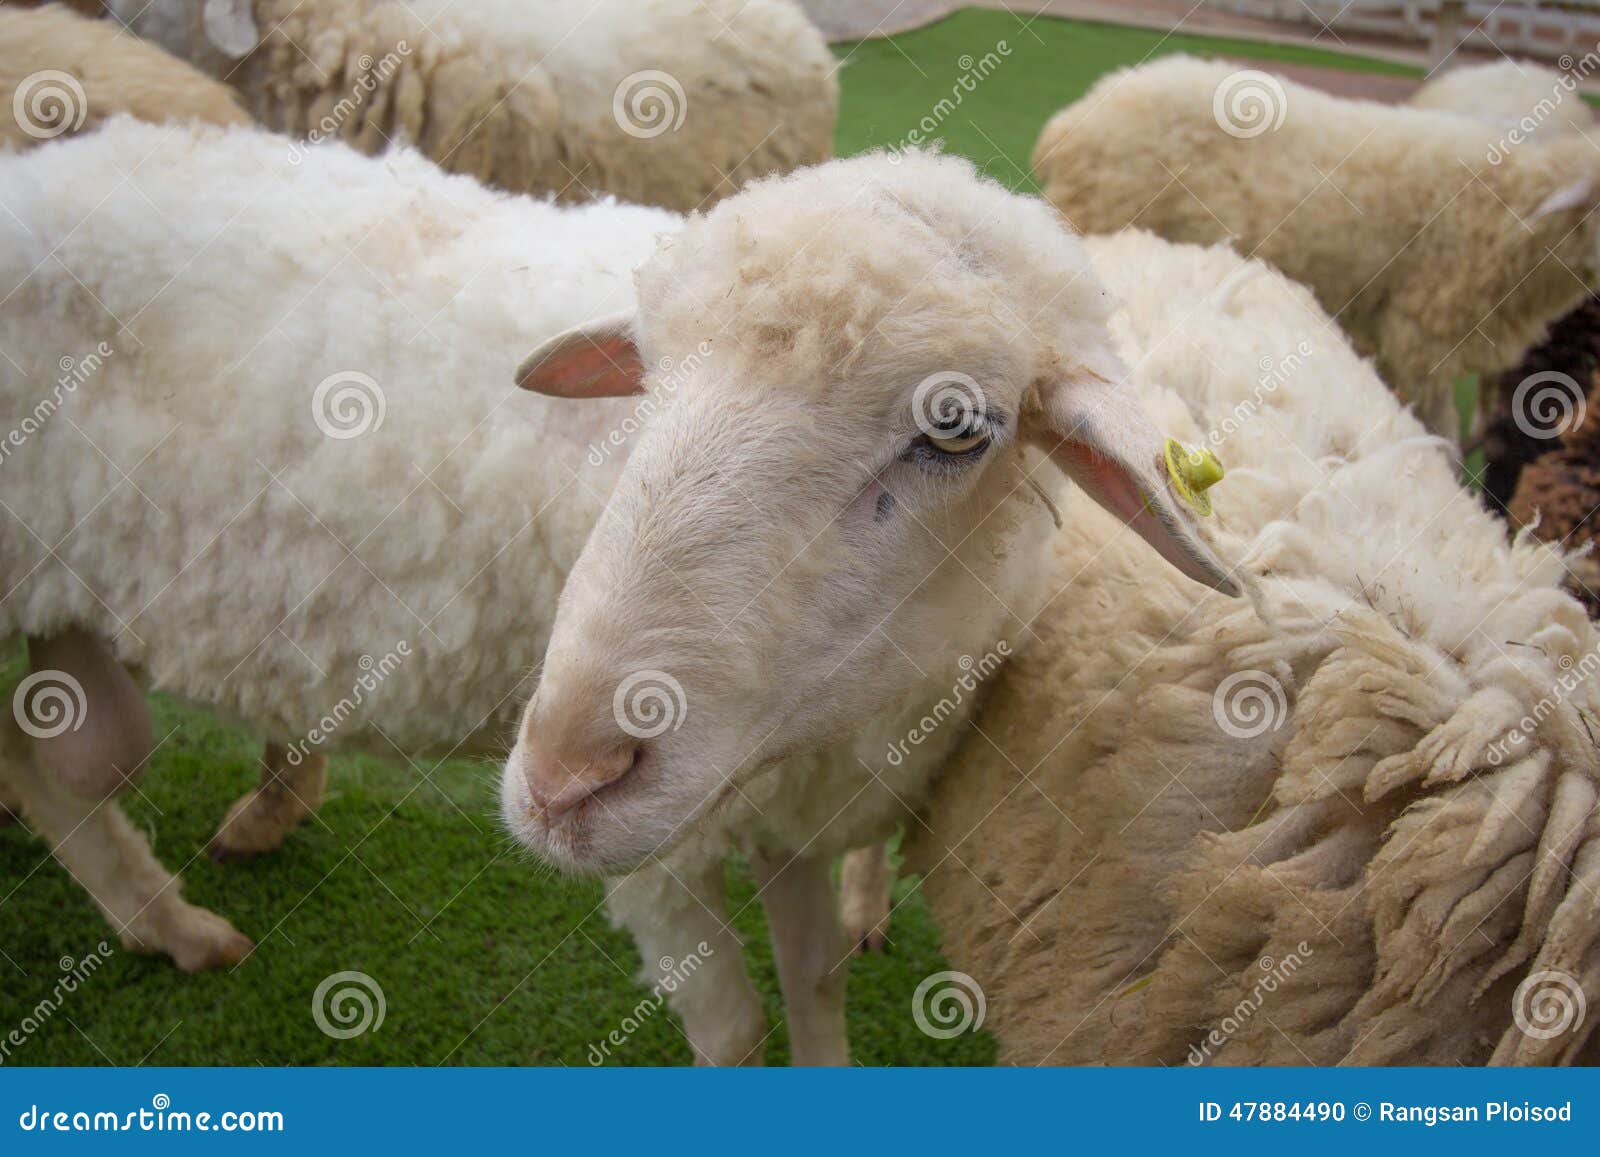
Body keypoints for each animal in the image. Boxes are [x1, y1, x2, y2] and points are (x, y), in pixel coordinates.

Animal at [500, 149, 1241, 1065]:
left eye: (955, 427)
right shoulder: (681, 863)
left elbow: (812, 974)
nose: (564, 778)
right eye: (646, 364)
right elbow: (745, 1022)